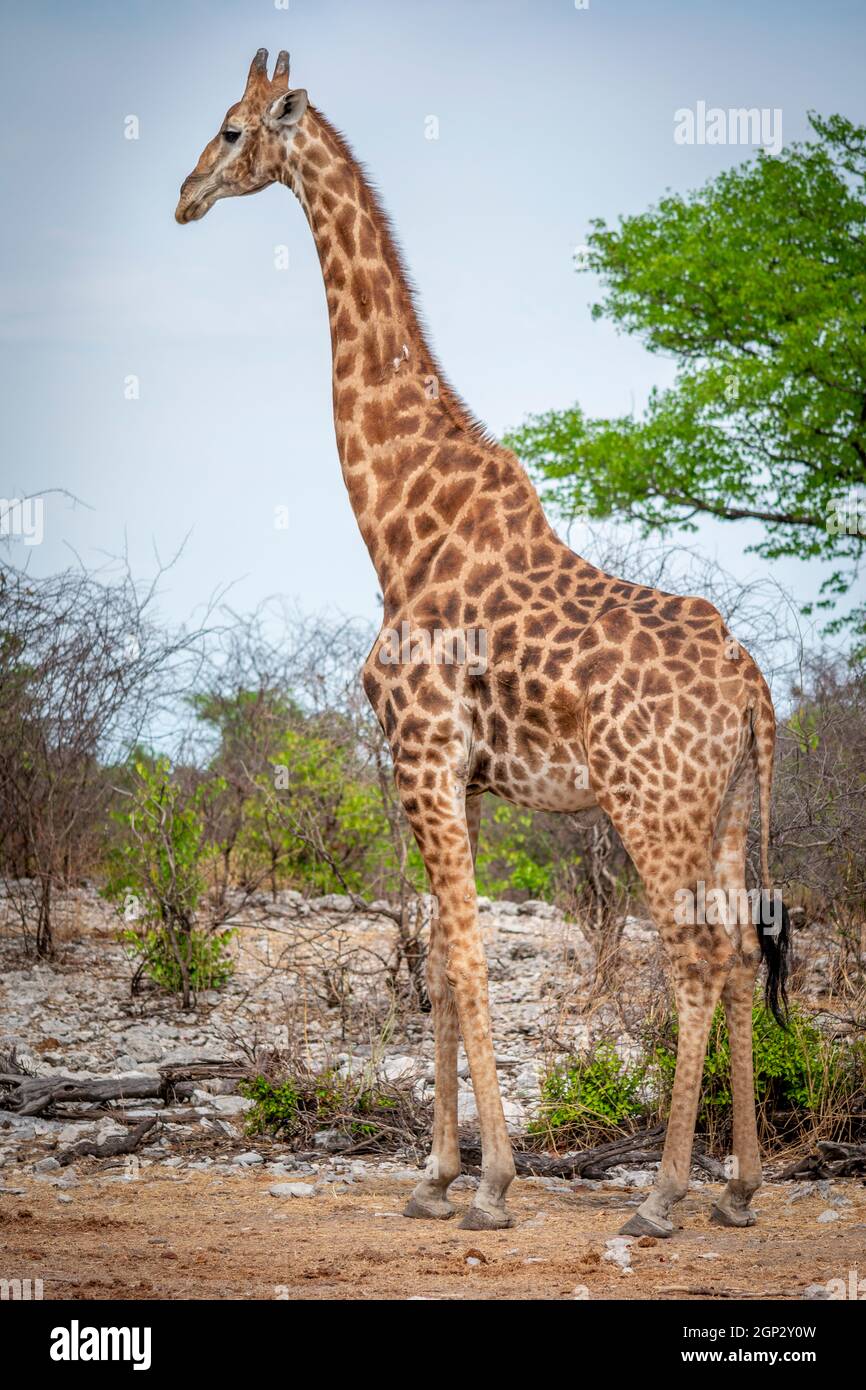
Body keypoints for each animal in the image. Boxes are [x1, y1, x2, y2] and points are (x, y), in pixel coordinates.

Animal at [176, 50, 790, 1237]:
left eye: (230, 129)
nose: (181, 197)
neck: (395, 522)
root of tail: (752, 687)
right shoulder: (460, 775)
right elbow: (445, 965)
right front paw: (434, 1175)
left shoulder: (418, 753)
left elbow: (459, 956)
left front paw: (492, 1183)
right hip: (728, 804)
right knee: (741, 953)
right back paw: (738, 1189)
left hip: (650, 802)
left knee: (693, 956)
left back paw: (661, 1194)